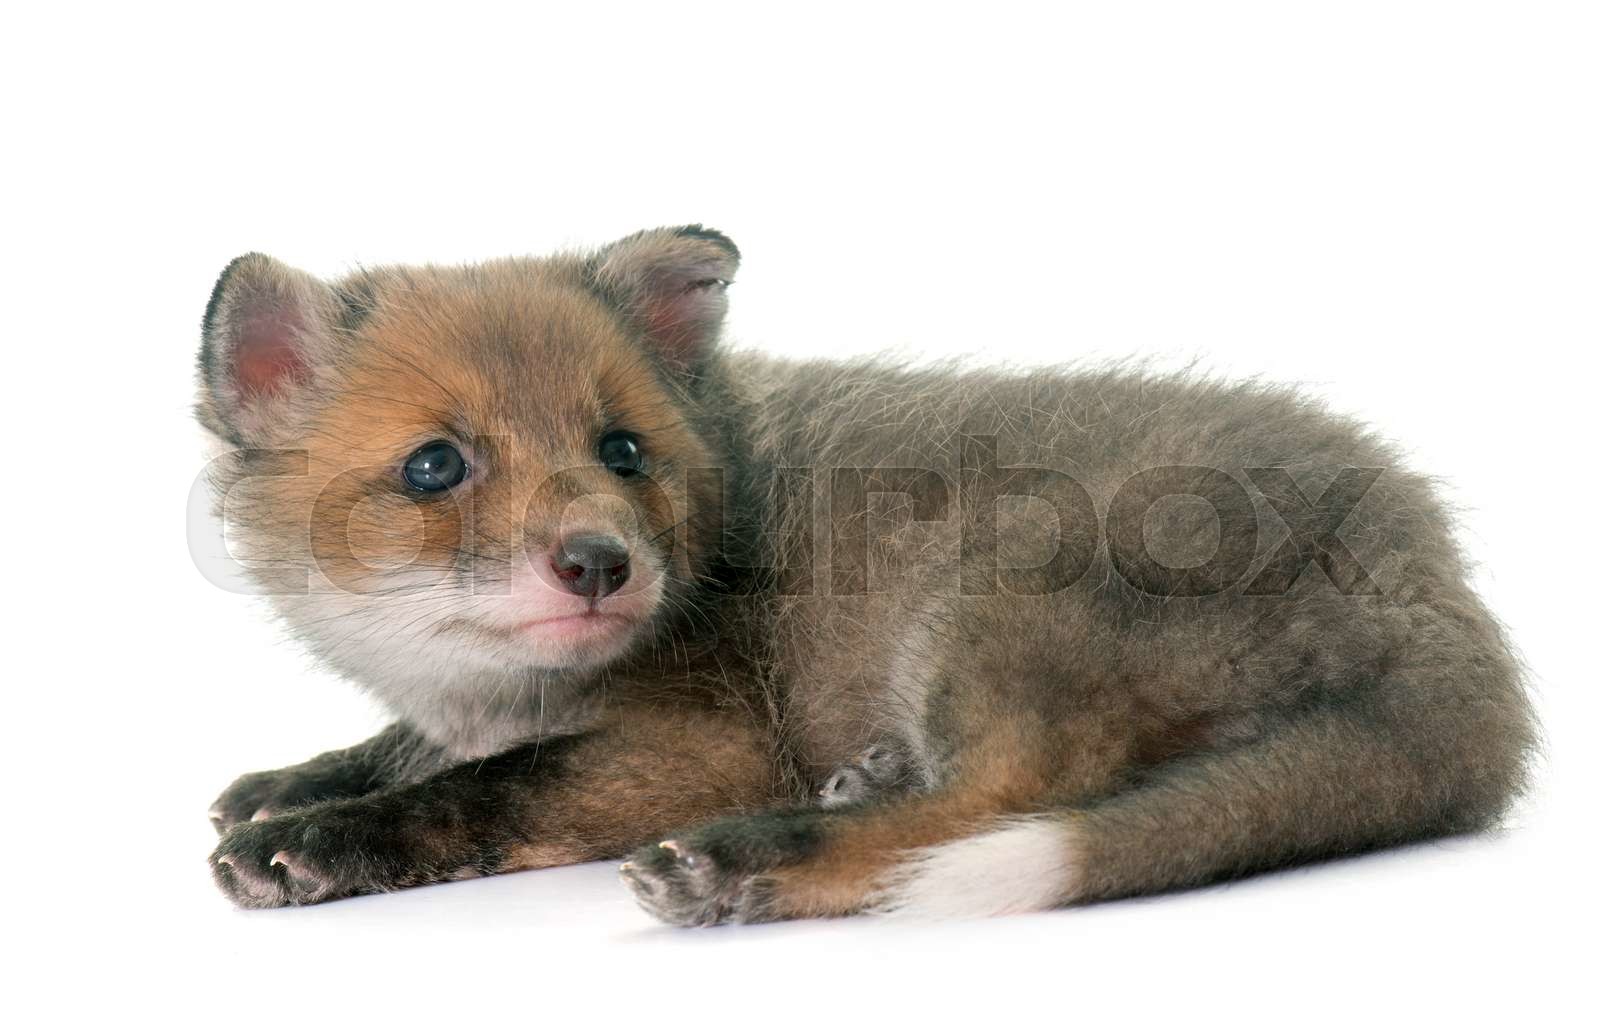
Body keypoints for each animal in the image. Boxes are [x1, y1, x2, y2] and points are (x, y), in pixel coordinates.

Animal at [198, 225, 1534, 923]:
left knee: (989, 804)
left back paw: (749, 860)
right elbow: (400, 751)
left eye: (621, 449)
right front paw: (290, 785)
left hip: (993, 603)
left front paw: (319, 841)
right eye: (434, 465)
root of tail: (1438, 582)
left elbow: (487, 791)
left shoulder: (701, 743)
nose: (600, 565)